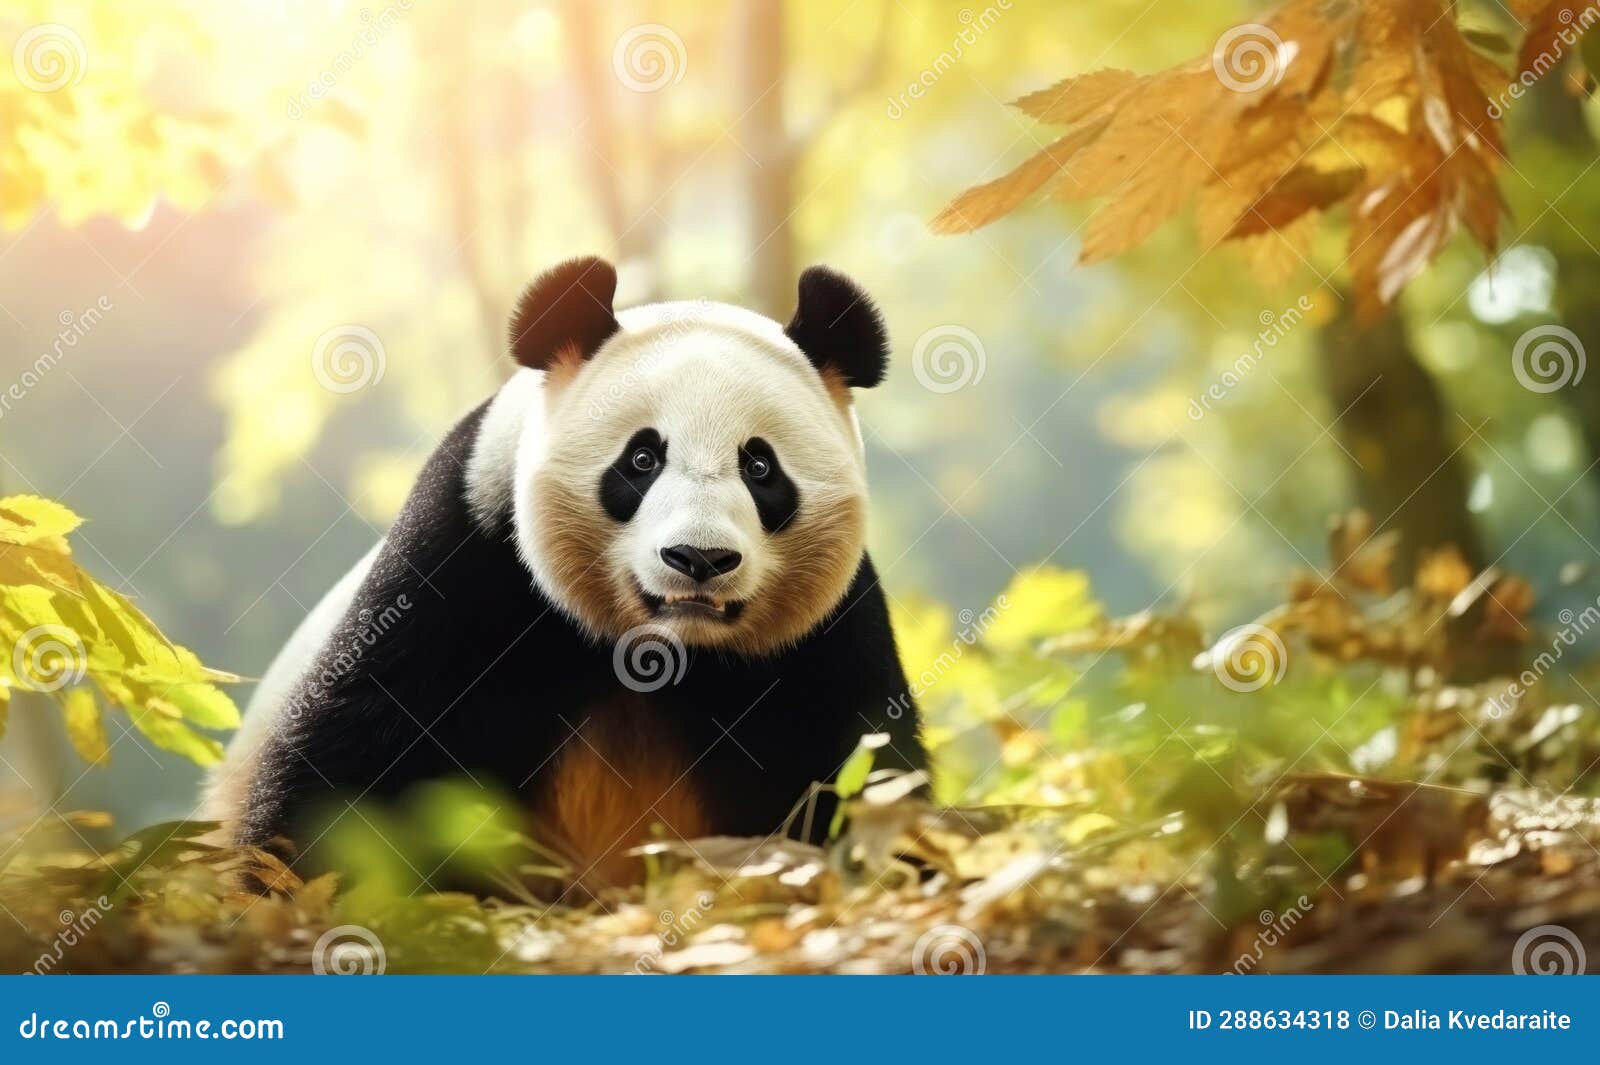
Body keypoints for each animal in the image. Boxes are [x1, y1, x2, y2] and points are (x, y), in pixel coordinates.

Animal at [203, 257, 926, 892]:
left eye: (760, 467)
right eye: (641, 459)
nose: (699, 558)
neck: (663, 654)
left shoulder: (827, 632)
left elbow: (862, 767)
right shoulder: (466, 552)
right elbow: (357, 753)